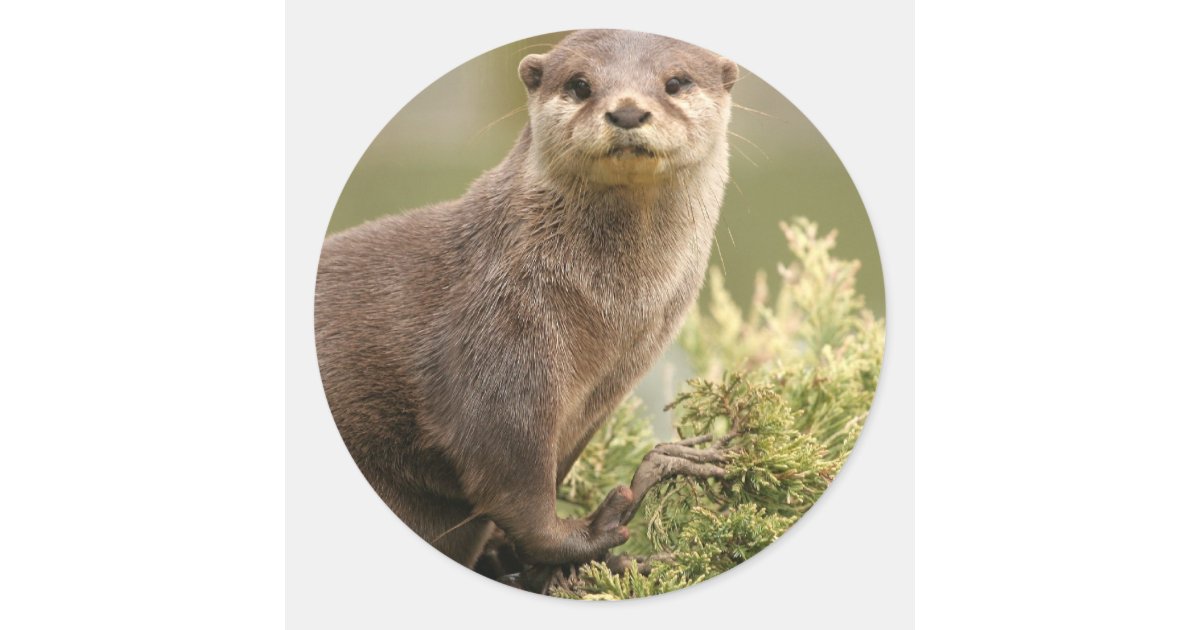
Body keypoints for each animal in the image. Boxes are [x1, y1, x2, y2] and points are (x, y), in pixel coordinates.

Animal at [315, 29, 738, 576]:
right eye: (580, 84)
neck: (608, 310)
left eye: (676, 81)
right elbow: (512, 479)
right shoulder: (503, 335)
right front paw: (595, 528)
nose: (626, 112)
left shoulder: (604, 391)